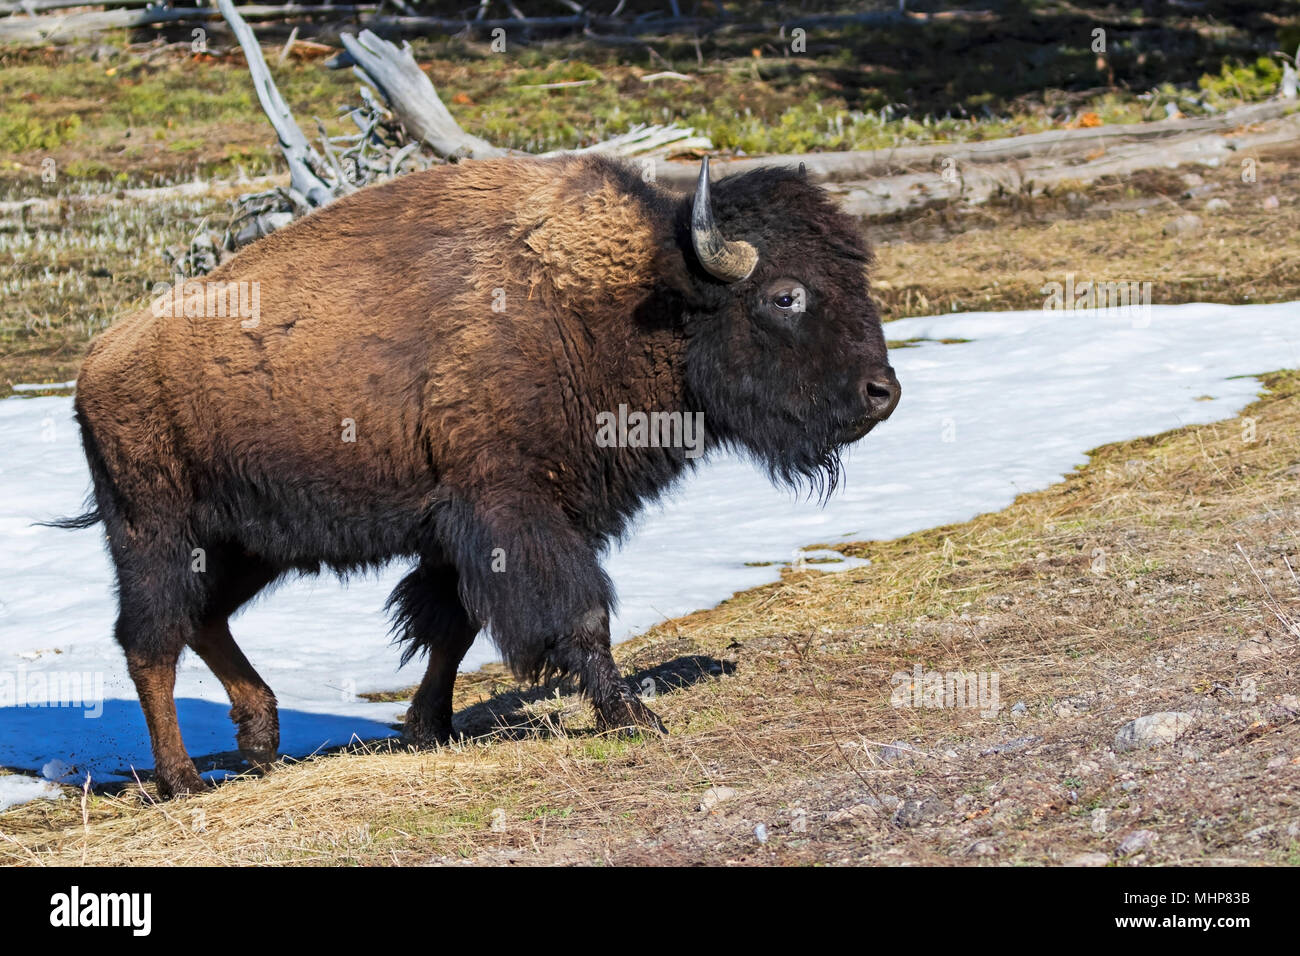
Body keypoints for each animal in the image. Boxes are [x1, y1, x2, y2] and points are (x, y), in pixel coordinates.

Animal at [59, 154, 899, 797]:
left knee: (204, 621)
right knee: (151, 643)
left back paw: (262, 742)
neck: (621, 297)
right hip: (156, 534)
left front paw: (427, 730)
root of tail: (96, 361)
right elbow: (577, 614)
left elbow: (451, 628)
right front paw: (634, 718)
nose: (881, 392)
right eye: (786, 295)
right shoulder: (512, 513)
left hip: (250, 546)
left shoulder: (464, 534)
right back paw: (182, 779)